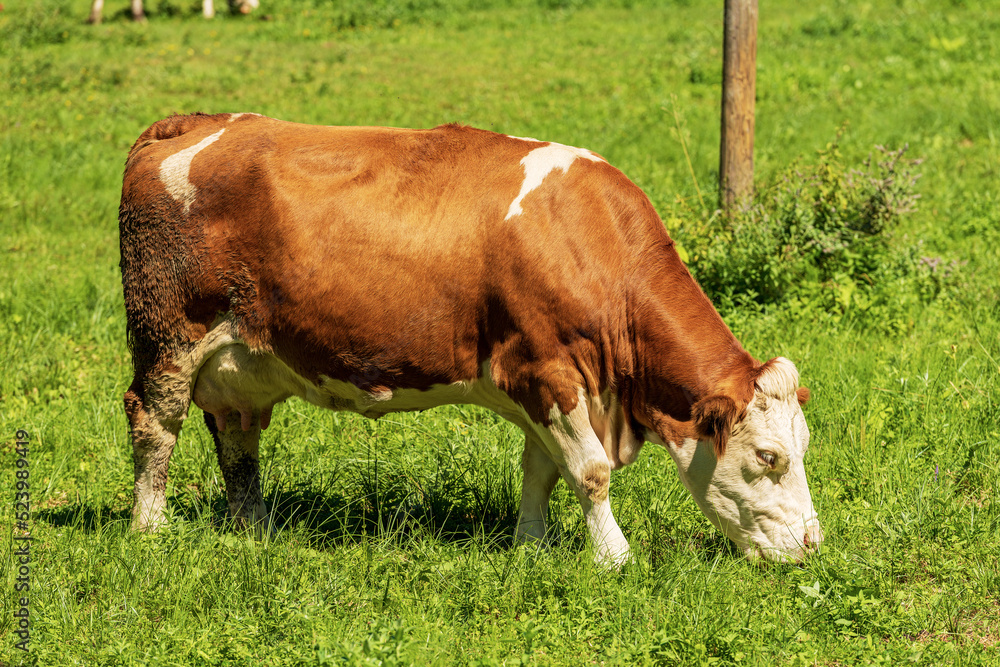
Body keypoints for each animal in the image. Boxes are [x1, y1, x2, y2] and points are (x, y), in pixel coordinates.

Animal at [118, 112, 823, 565]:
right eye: (769, 458)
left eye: (803, 447)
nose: (813, 546)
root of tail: (190, 121)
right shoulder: (550, 370)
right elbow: (591, 471)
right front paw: (614, 558)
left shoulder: (538, 383)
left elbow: (541, 469)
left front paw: (532, 545)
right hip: (167, 338)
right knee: (154, 425)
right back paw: (150, 529)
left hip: (239, 362)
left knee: (238, 439)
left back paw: (253, 530)